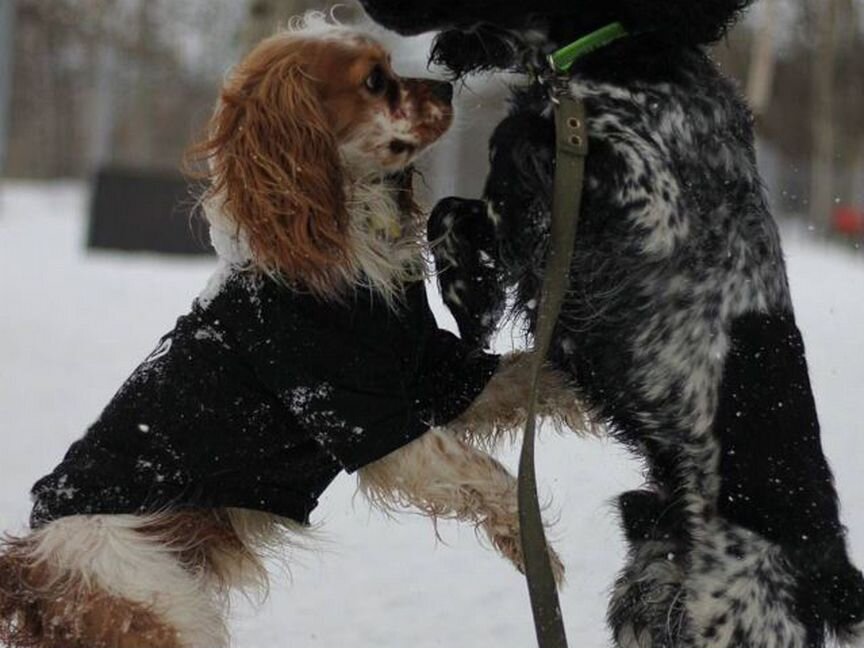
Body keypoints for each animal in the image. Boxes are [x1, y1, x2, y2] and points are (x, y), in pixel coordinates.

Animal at [0, 15, 580, 648]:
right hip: (165, 606)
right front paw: (538, 555)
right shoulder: (372, 423)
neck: (344, 238)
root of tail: (29, 568)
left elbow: (535, 376)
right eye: (375, 80)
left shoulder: (436, 374)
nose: (446, 88)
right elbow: (494, 476)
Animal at [358, 1, 864, 648]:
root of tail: (829, 574)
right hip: (650, 597)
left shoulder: (644, 194)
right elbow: (453, 213)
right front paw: (470, 298)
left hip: (735, 618)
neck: (603, 55)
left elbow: (518, 151)